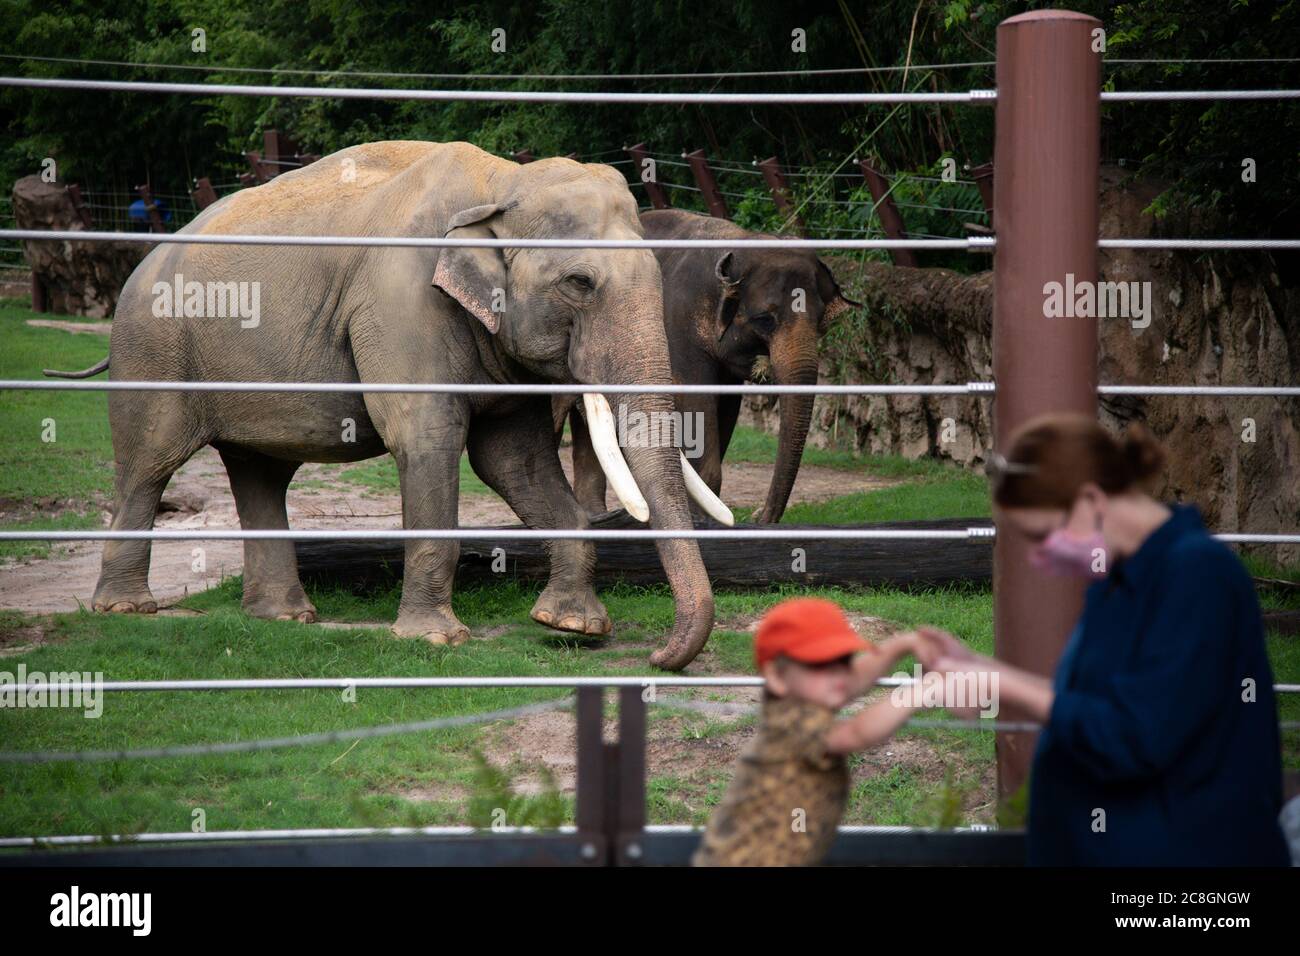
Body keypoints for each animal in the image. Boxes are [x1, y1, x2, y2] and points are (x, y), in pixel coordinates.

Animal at [53, 142, 723, 670]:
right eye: (579, 283)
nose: (659, 655)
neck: (500, 183)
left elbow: (515, 461)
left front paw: (572, 627)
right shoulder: (402, 303)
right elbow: (428, 438)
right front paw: (435, 641)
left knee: (259, 473)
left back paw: (284, 618)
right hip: (152, 348)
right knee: (149, 463)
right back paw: (126, 609)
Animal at [562, 209, 859, 524]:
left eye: (820, 322)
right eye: (765, 319)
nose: (758, 517)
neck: (741, 242)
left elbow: (727, 407)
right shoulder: (679, 328)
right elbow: (697, 407)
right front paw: (703, 522)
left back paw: (596, 515)